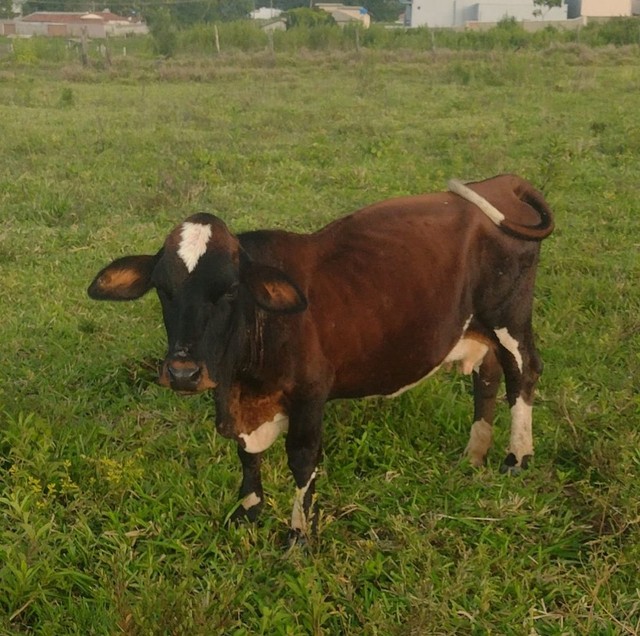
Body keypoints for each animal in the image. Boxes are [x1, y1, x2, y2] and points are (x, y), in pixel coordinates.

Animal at [88, 174, 554, 543]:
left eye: (231, 289)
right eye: (163, 289)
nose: (183, 372)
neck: (245, 379)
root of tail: (498, 182)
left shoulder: (311, 394)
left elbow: (302, 459)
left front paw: (298, 535)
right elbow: (246, 453)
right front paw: (248, 513)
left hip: (510, 319)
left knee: (523, 375)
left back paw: (516, 458)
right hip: (480, 329)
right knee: (487, 380)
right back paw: (473, 455)